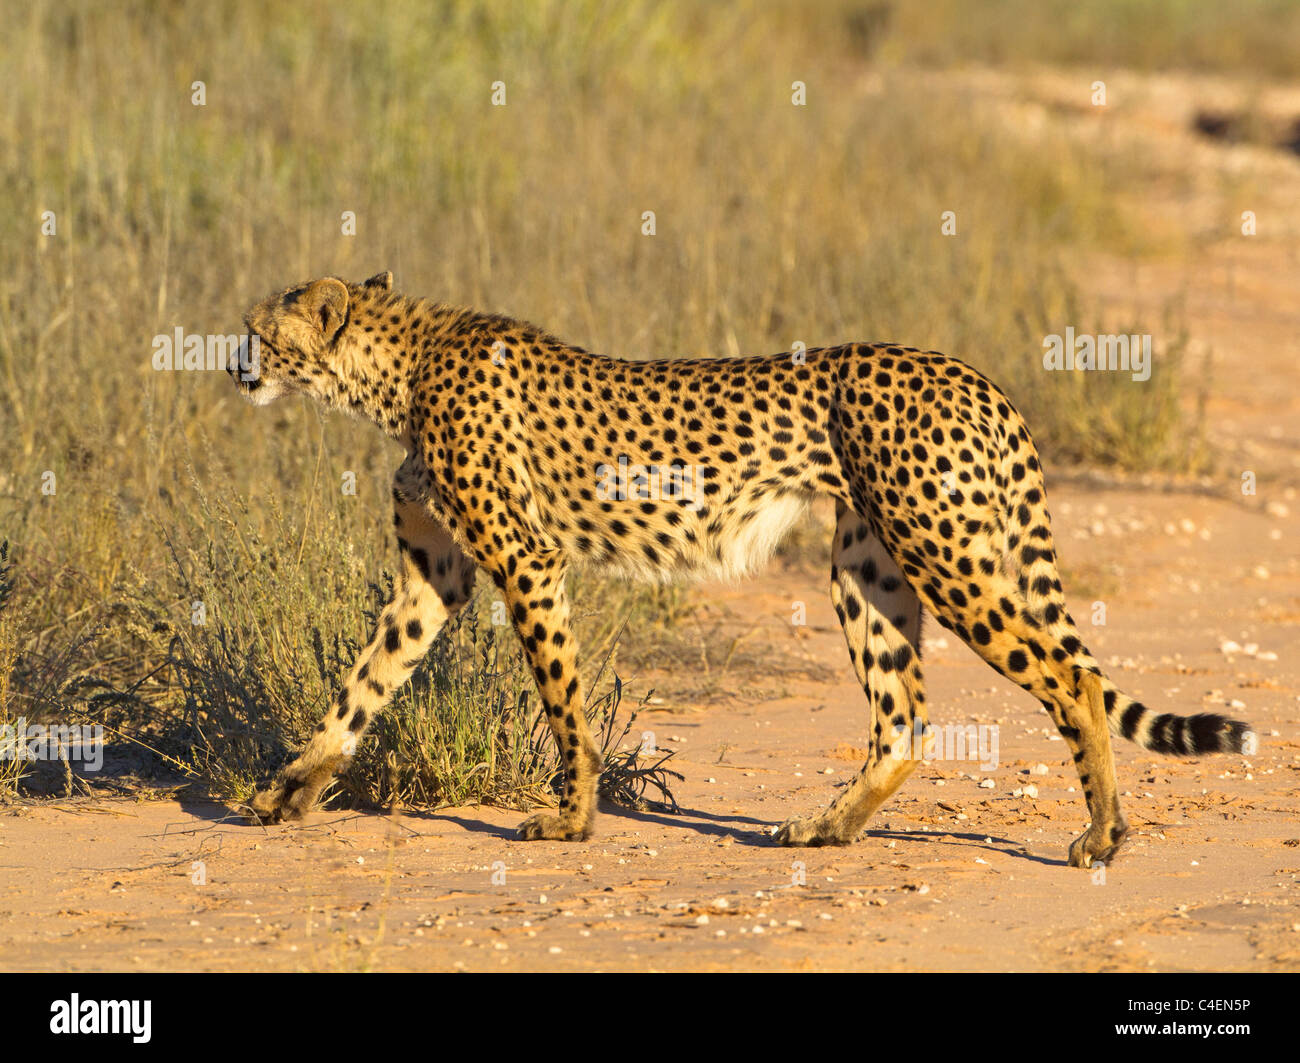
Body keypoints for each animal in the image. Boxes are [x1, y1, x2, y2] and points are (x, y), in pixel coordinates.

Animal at [231, 271, 1252, 867]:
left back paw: (1102, 833)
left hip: (944, 552)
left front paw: (571, 818)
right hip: (866, 566)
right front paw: (292, 788)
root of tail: (971, 372)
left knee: (1071, 677)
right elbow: (365, 681)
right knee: (904, 716)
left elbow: (561, 700)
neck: (396, 366)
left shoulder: (527, 557)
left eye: (257, 330)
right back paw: (828, 827)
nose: (236, 366)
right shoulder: (432, 578)